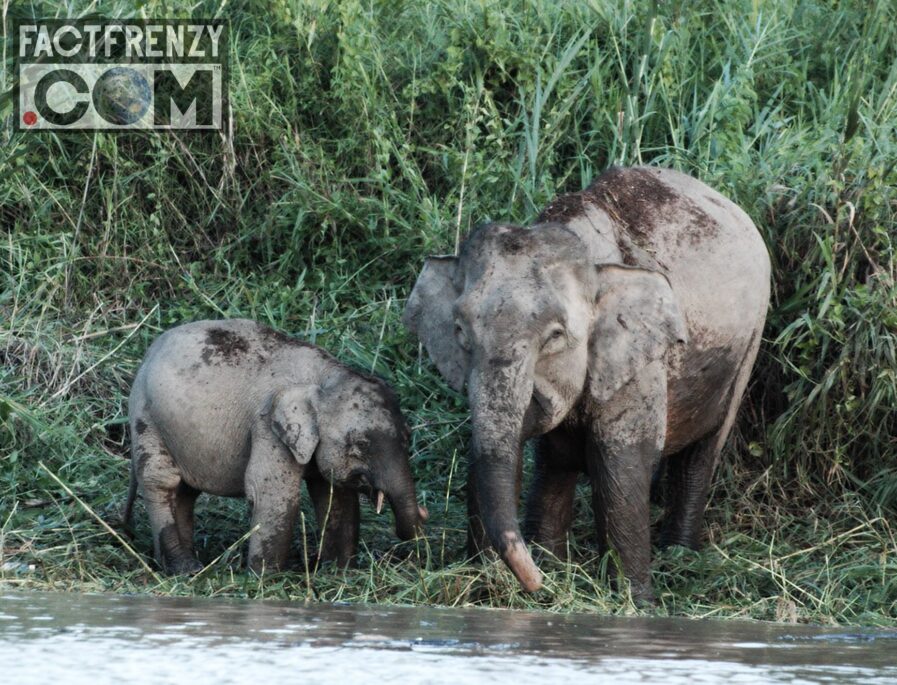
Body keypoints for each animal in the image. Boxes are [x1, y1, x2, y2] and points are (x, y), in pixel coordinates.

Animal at [124, 318, 428, 575]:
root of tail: (149, 352)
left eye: (408, 436)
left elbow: (336, 496)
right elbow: (272, 493)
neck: (326, 377)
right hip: (145, 415)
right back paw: (185, 569)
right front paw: (265, 578)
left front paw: (337, 572)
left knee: (185, 491)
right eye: (361, 445)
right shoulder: (267, 427)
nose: (424, 514)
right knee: (161, 480)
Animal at [404, 166, 770, 601]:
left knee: (702, 453)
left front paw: (635, 600)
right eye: (460, 331)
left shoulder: (640, 361)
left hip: (748, 346)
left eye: (554, 336)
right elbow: (534, 454)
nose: (536, 586)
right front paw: (500, 577)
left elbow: (620, 461)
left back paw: (680, 555)